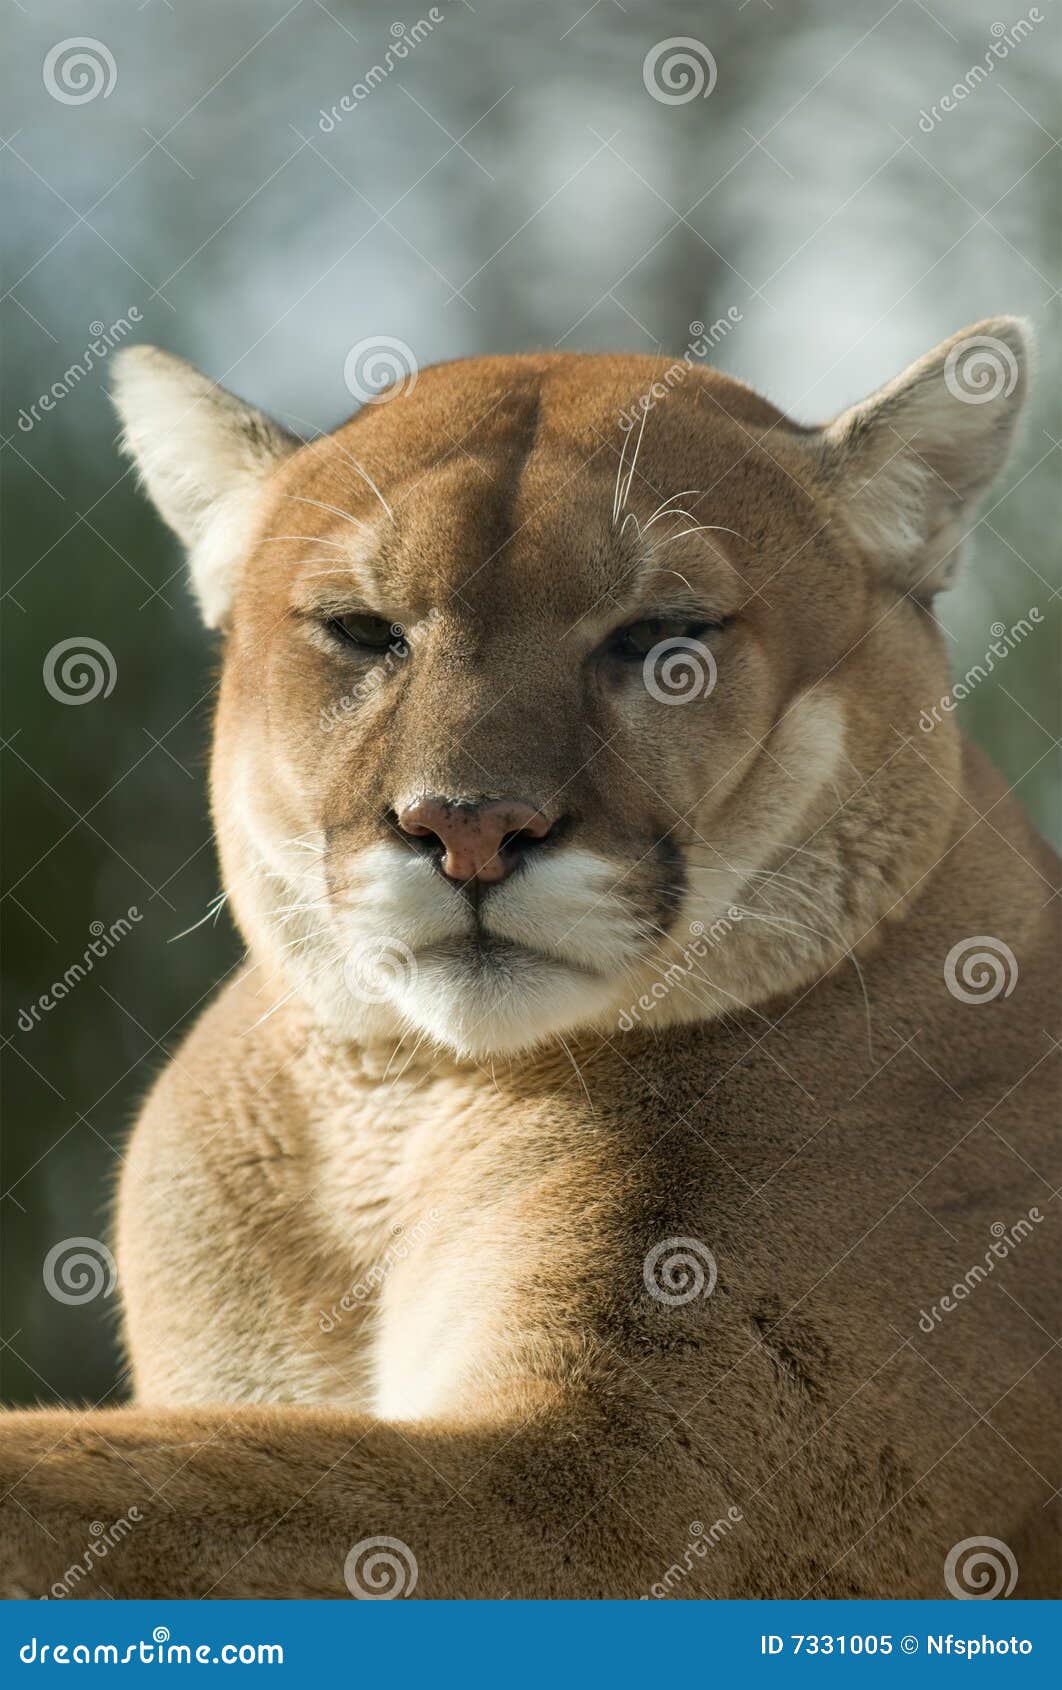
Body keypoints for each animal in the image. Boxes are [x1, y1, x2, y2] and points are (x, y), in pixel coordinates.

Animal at [2, 320, 1057, 1600]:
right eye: (364, 629)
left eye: (661, 639)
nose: (469, 827)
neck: (393, 1114)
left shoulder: (631, 1497)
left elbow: (133, 1486)